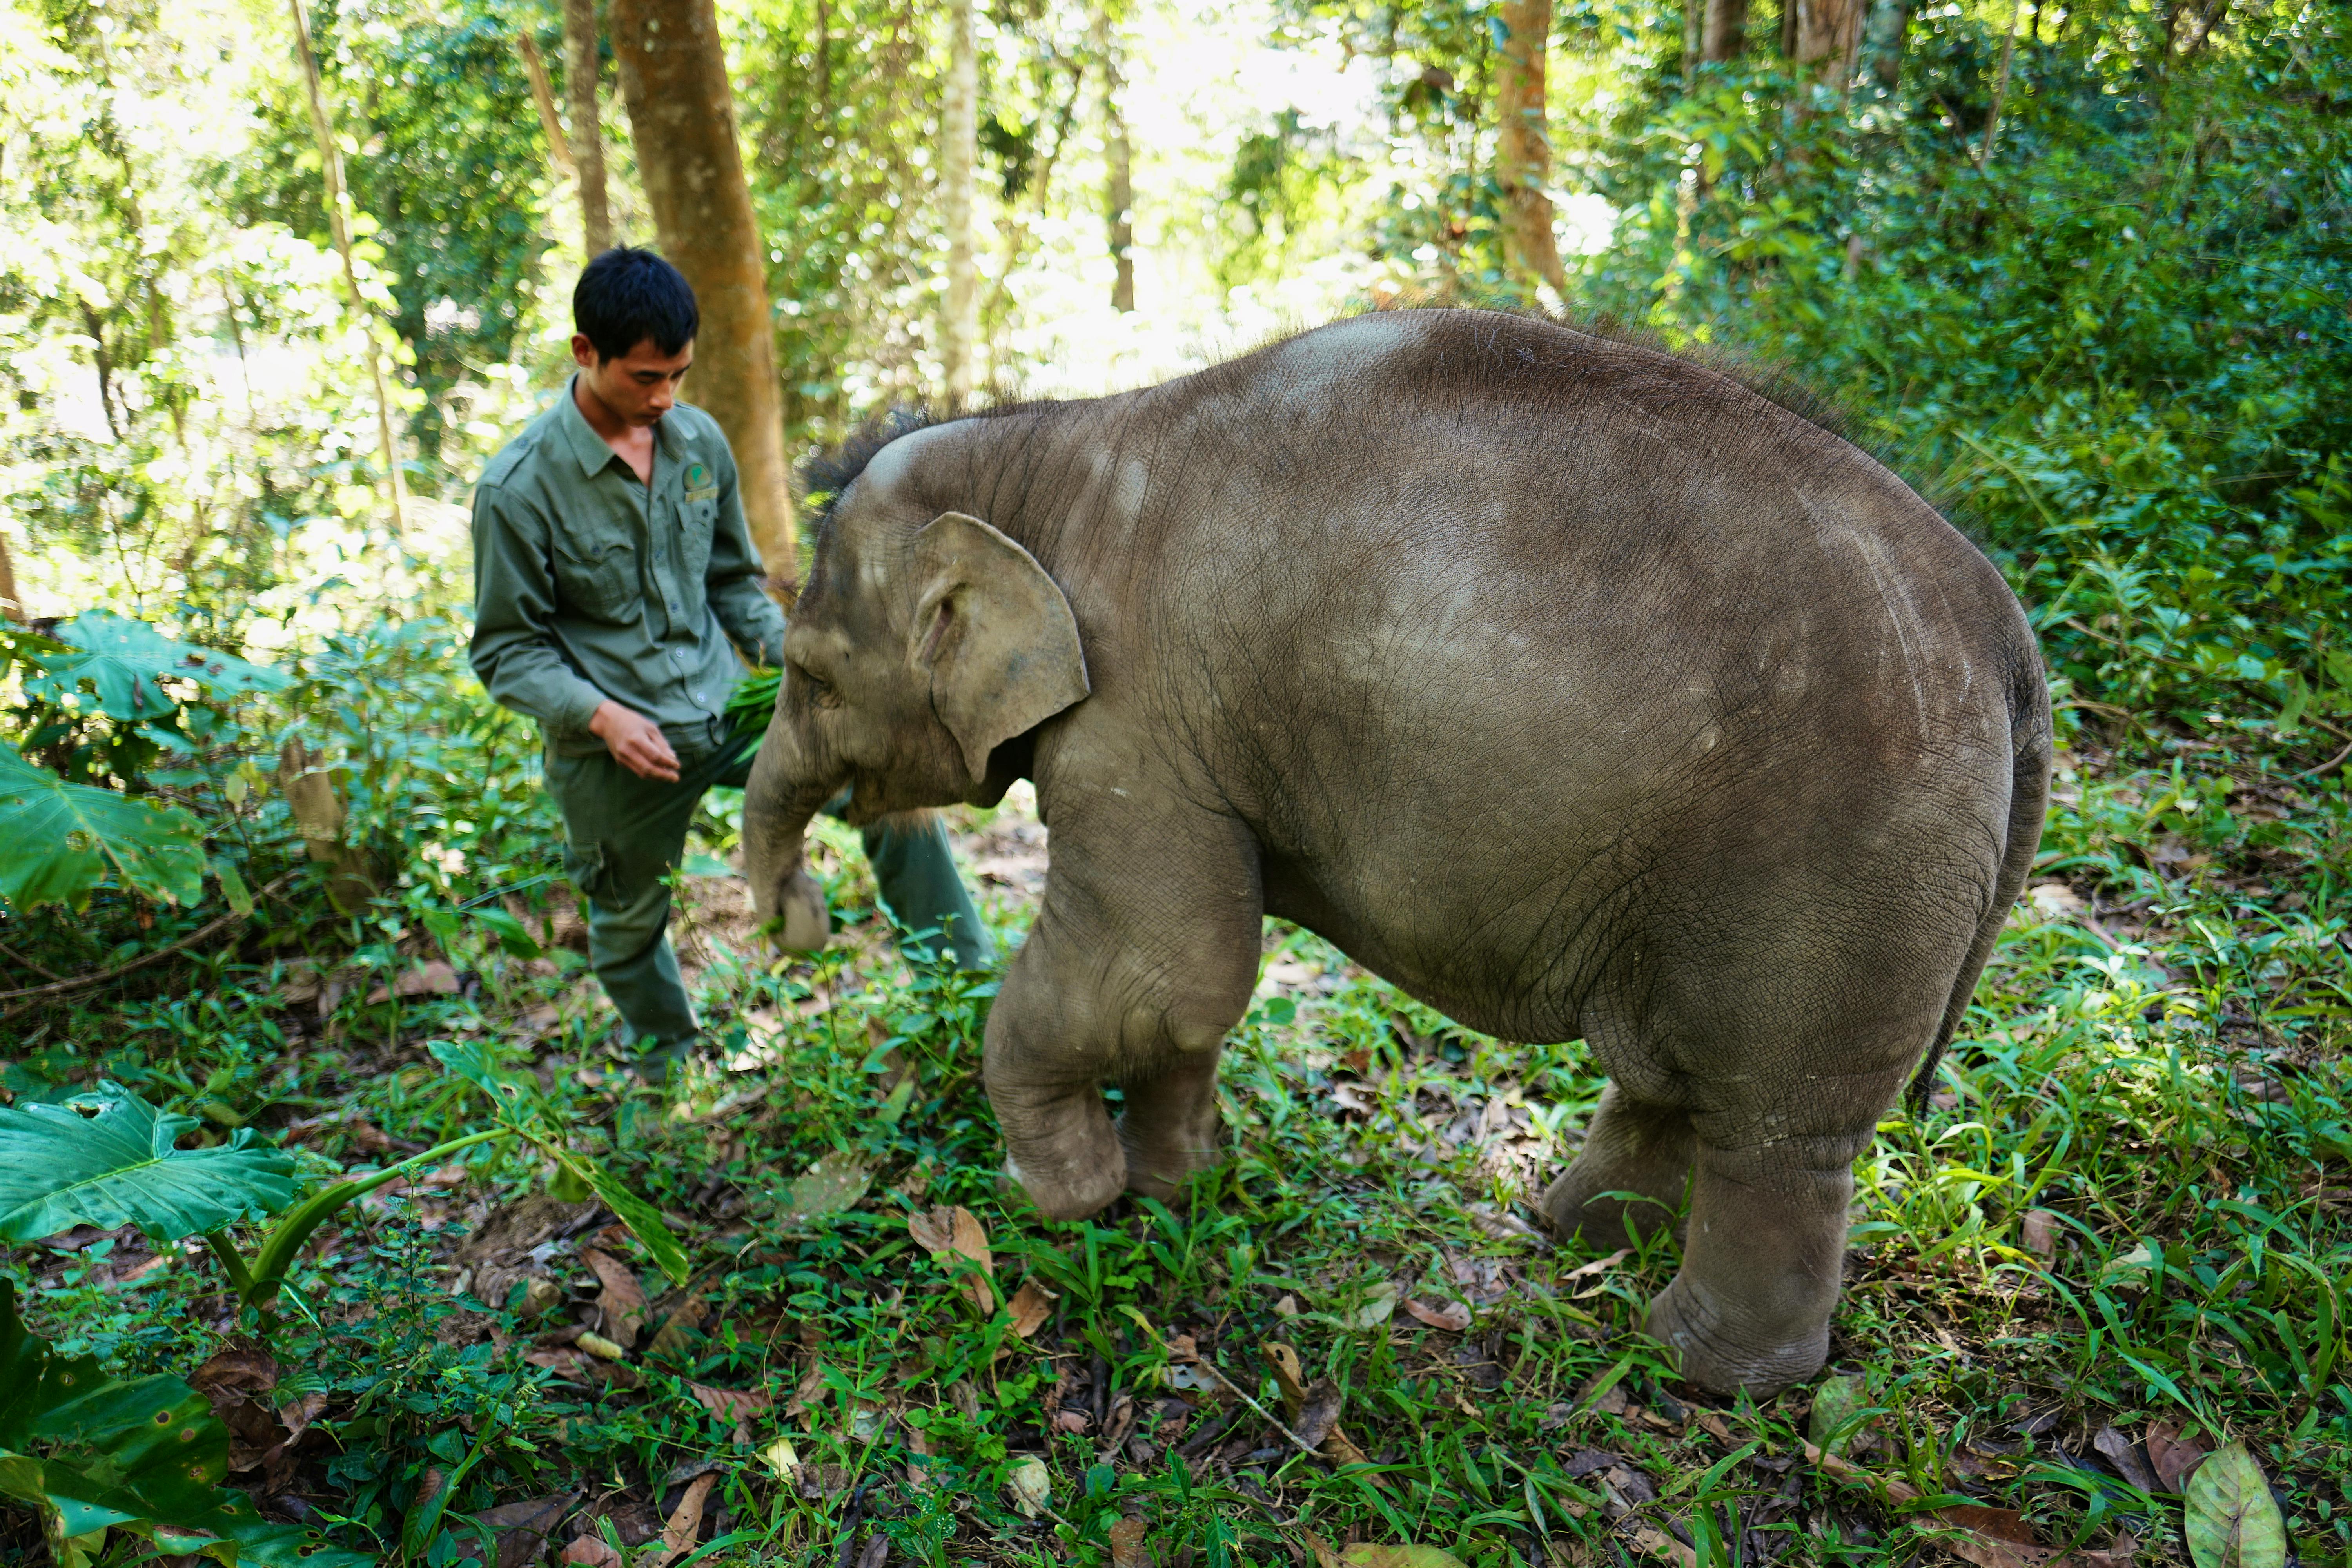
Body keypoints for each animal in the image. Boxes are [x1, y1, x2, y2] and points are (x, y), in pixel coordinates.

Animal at [741, 308, 2051, 1396]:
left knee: (1777, 1132)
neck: (1047, 440)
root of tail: (2012, 645)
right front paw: (1179, 1184)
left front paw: (1063, 1203)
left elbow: (1163, 965)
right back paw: (1570, 1233)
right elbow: (1182, 993)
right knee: (1677, 1079)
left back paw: (1700, 1371)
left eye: (810, 675)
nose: (789, 926)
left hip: (1831, 876)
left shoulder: (1135, 712)